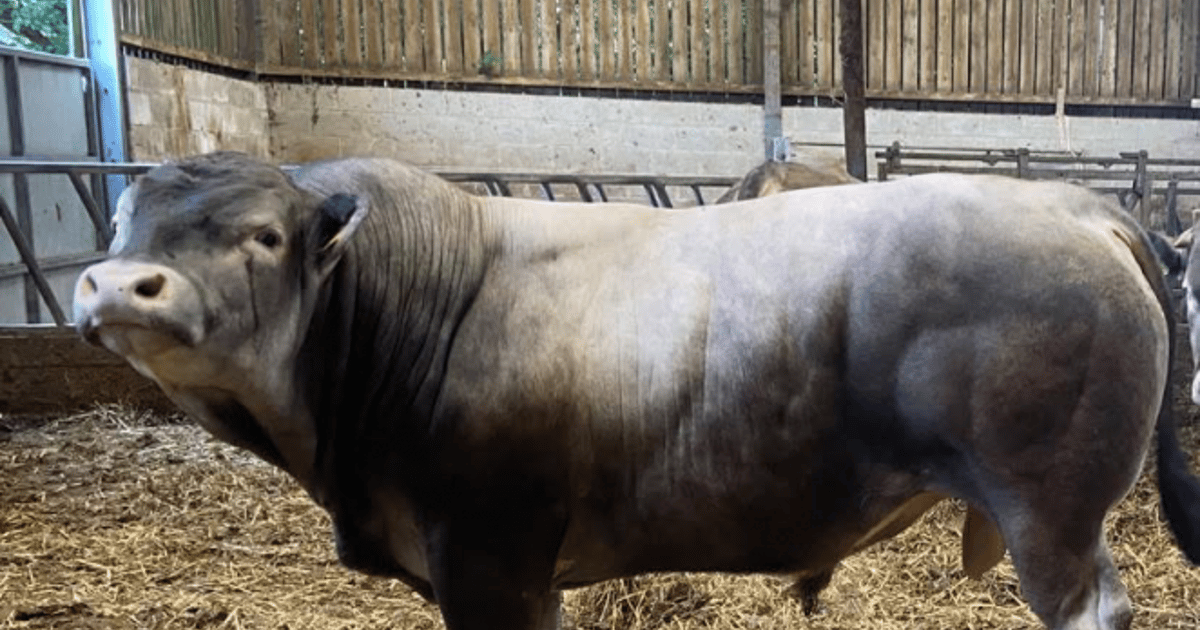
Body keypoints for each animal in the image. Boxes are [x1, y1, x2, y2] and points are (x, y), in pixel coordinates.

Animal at [73, 152, 1200, 630]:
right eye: (123, 217)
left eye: (265, 235)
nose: (116, 284)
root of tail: (1073, 204)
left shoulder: (490, 555)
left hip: (1052, 511)